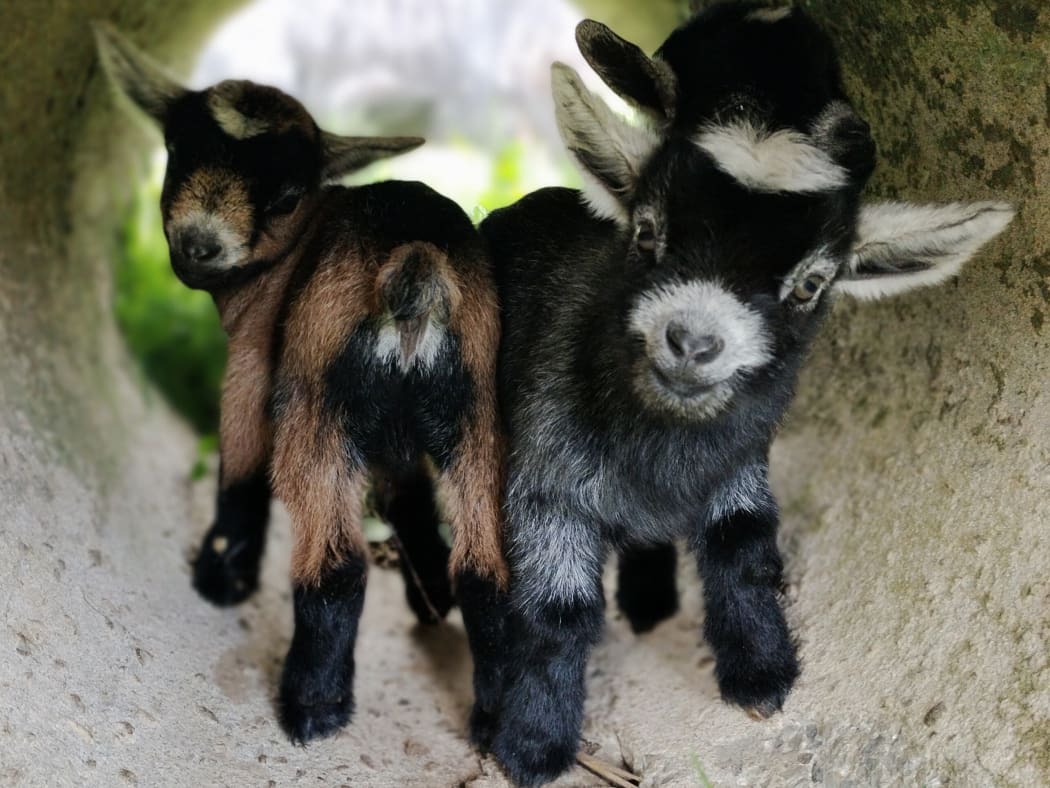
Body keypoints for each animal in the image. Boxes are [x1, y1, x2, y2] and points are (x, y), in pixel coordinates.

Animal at [94, 24, 507, 744]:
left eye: (286, 198)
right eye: (173, 152)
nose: (199, 244)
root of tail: (417, 271)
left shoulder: (255, 362)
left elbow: (239, 467)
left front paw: (222, 577)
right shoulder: (397, 435)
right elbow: (408, 493)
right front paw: (428, 594)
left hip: (320, 407)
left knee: (337, 562)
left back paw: (313, 709)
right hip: (472, 412)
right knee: (485, 567)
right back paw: (518, 737)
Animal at [478, 4, 1014, 784]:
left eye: (812, 283)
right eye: (647, 231)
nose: (693, 342)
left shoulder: (742, 463)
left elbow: (745, 549)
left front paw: (763, 678)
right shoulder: (545, 479)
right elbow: (557, 611)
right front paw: (532, 743)